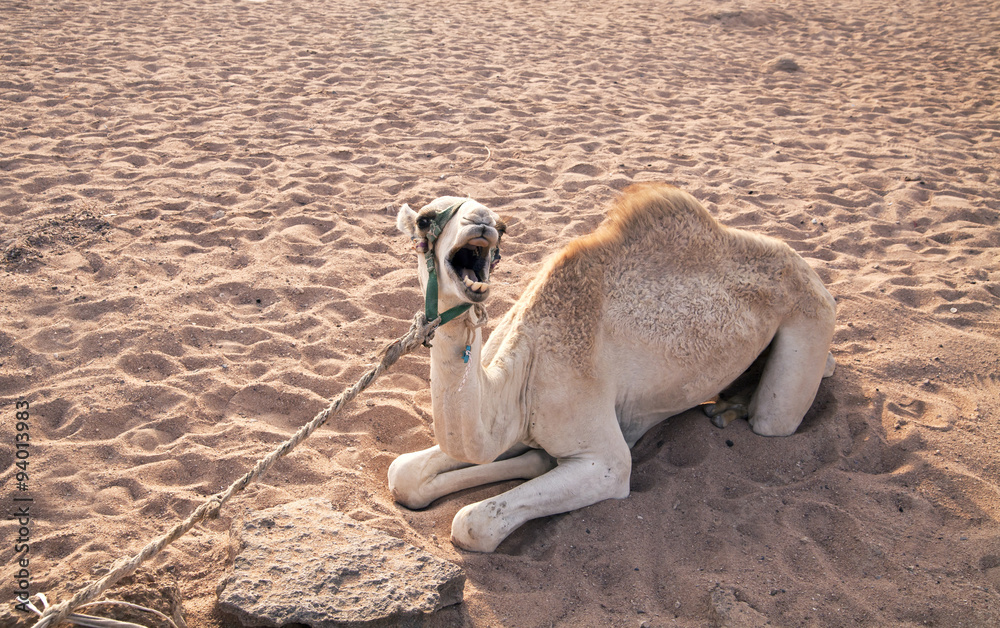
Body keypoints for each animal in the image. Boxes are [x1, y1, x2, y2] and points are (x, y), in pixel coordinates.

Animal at [389, 183, 836, 552]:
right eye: (426, 219)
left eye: (502, 226)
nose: (481, 220)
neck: (520, 373)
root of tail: (805, 265)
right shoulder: (517, 425)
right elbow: (403, 474)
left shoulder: (607, 462)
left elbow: (472, 522)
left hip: (811, 316)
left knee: (773, 418)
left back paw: (733, 408)